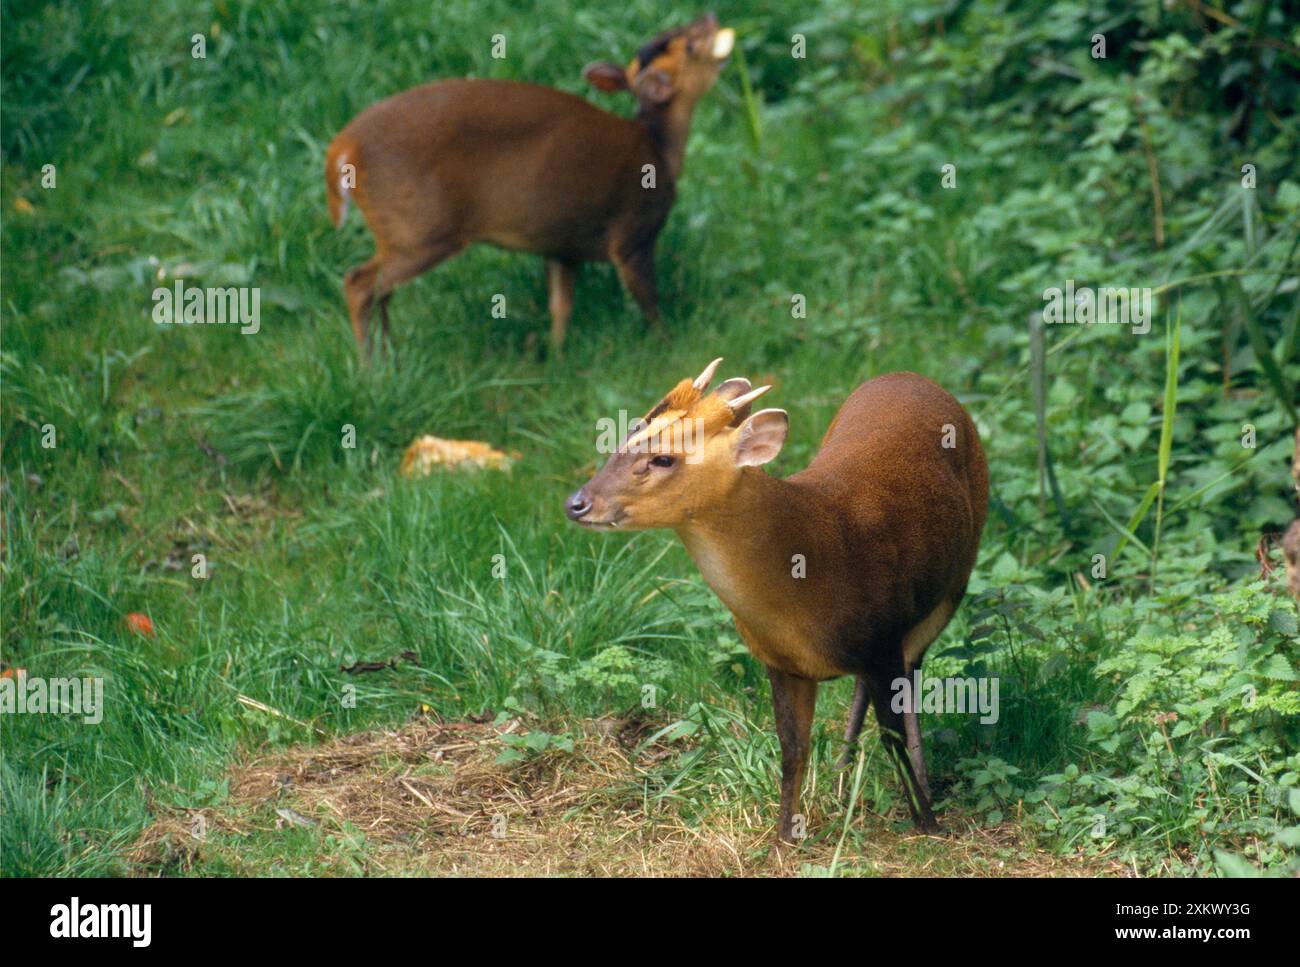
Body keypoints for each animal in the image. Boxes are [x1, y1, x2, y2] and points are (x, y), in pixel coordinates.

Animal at [324, 14, 735, 357]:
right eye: (689, 44)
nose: (710, 16)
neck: (660, 148)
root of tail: (345, 144)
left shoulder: (562, 247)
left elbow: (560, 306)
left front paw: (556, 357)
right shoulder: (634, 234)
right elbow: (650, 302)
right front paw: (671, 348)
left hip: (400, 233)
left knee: (381, 291)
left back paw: (391, 358)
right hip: (420, 230)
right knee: (358, 283)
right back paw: (370, 369)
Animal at [565, 359, 989, 844]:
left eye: (664, 458)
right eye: (627, 435)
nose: (576, 504)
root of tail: (911, 376)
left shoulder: (883, 638)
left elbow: (893, 734)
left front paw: (928, 824)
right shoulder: (779, 661)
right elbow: (792, 746)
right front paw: (785, 835)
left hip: (954, 582)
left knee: (913, 673)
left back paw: (919, 790)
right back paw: (842, 777)